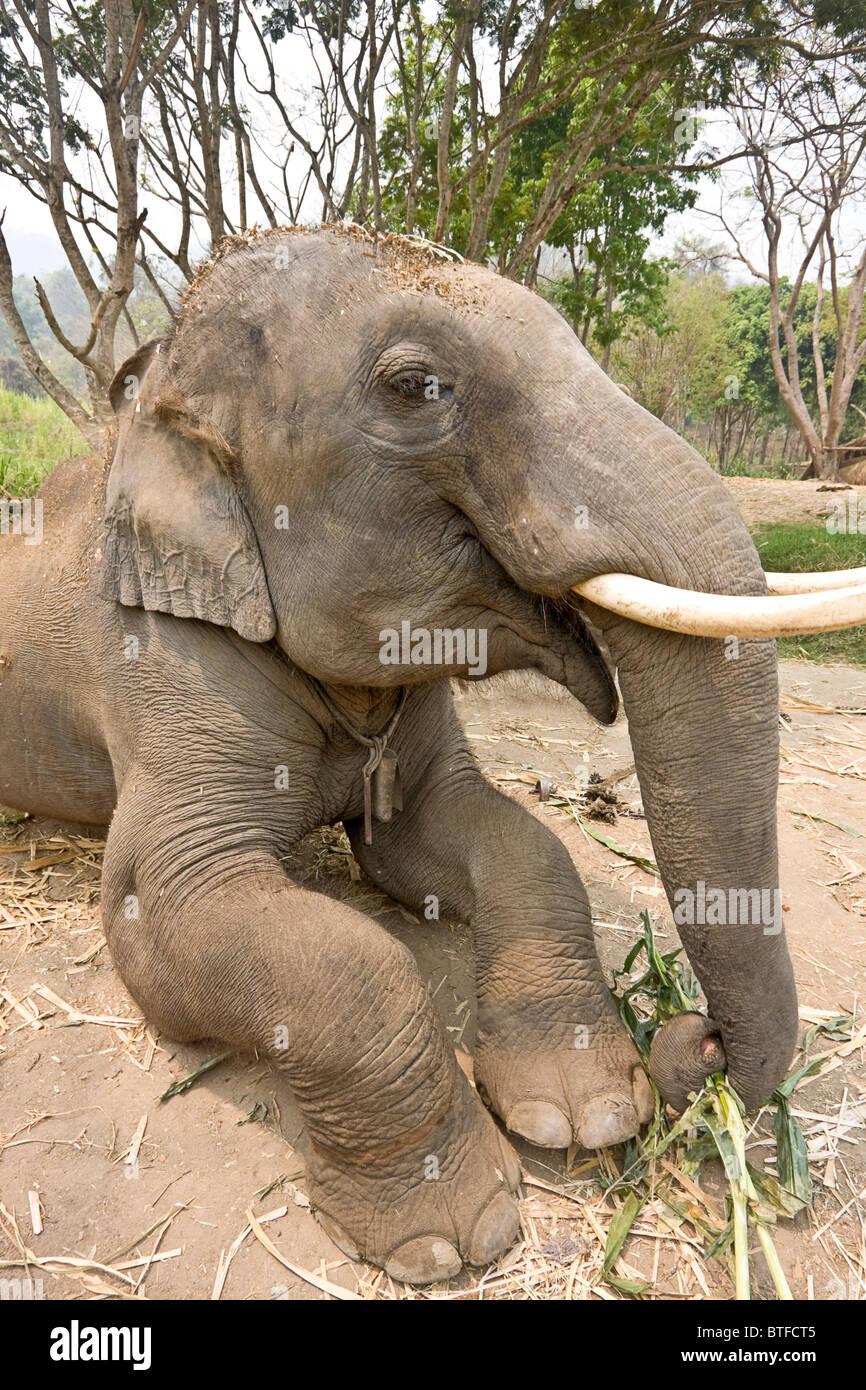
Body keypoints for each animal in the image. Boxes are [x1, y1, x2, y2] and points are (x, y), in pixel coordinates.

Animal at [1, 224, 816, 1286]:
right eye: (417, 388)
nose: (701, 1043)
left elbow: (479, 841)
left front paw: (584, 1112)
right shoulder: (160, 661)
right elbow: (178, 905)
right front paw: (450, 1236)